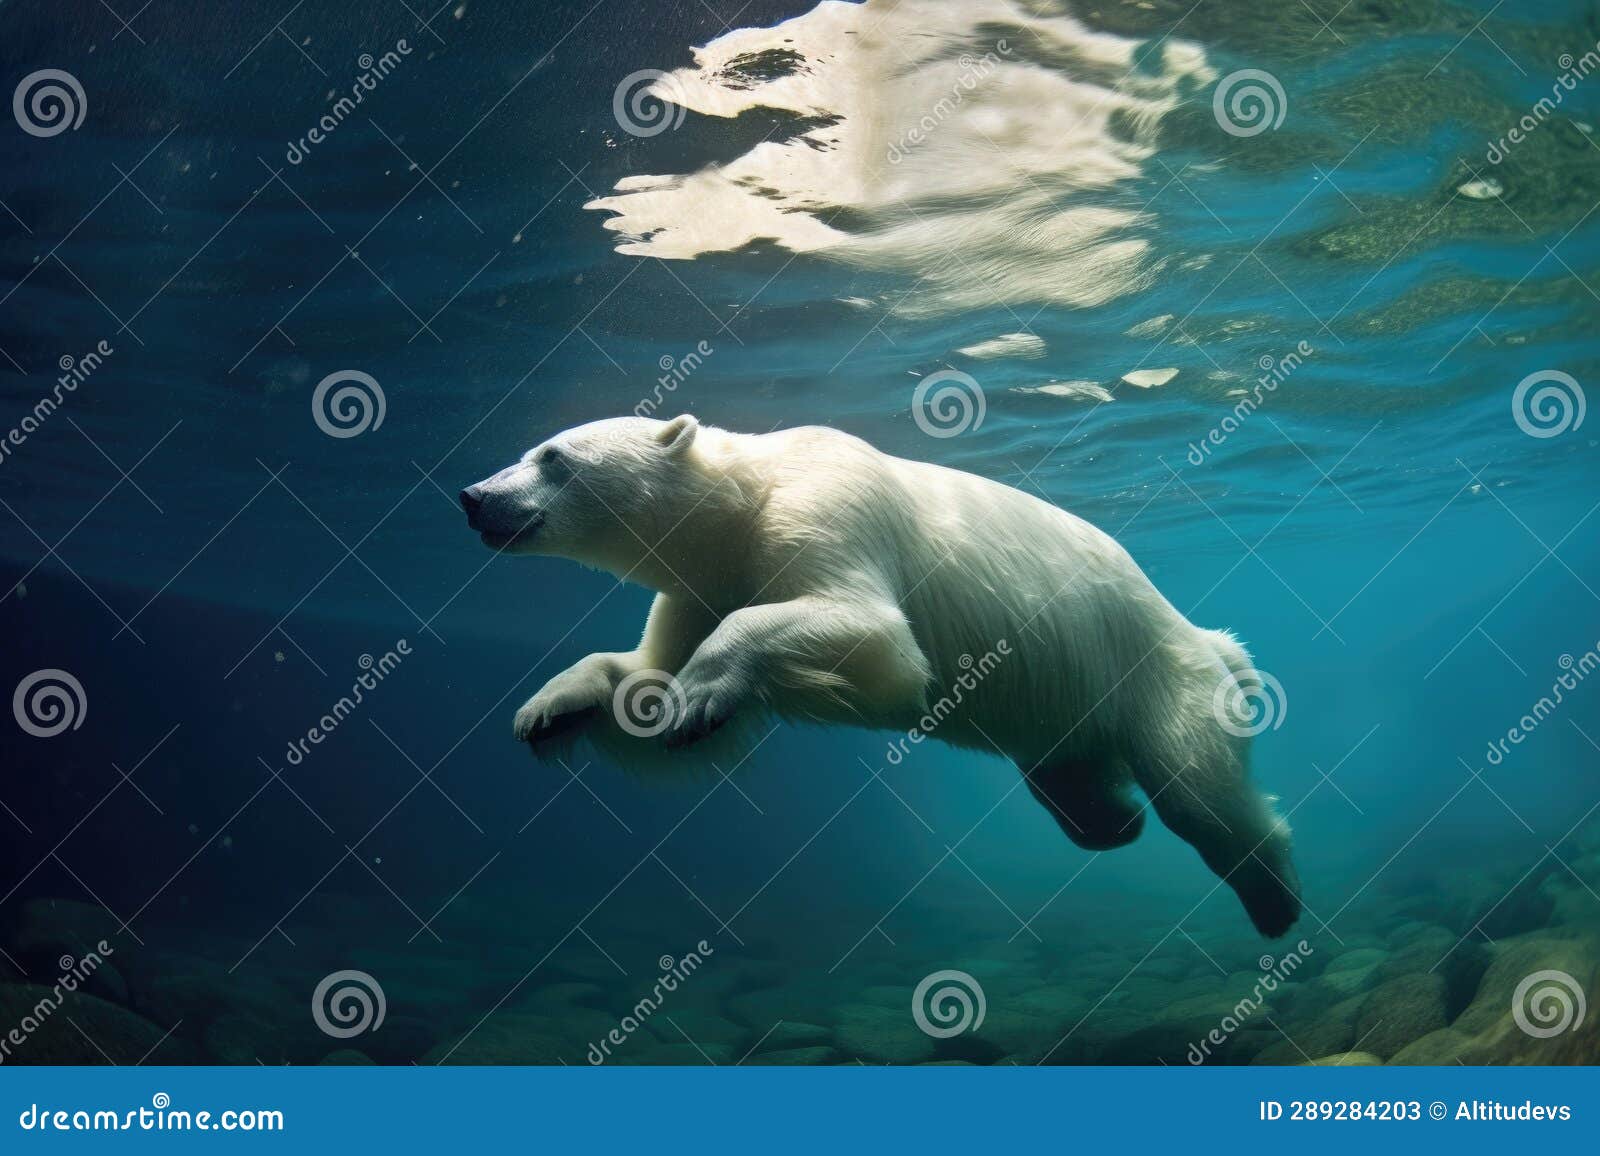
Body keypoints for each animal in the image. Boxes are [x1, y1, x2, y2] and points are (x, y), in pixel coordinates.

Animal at [460, 414, 1301, 937]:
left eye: (552, 457)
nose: (473, 496)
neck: (744, 501)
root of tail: (1209, 637)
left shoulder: (824, 511)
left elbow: (878, 640)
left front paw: (697, 700)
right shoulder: (704, 584)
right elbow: (637, 676)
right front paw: (548, 709)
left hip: (1160, 675)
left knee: (1201, 796)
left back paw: (1275, 899)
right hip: (1072, 710)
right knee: (1075, 782)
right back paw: (1116, 819)